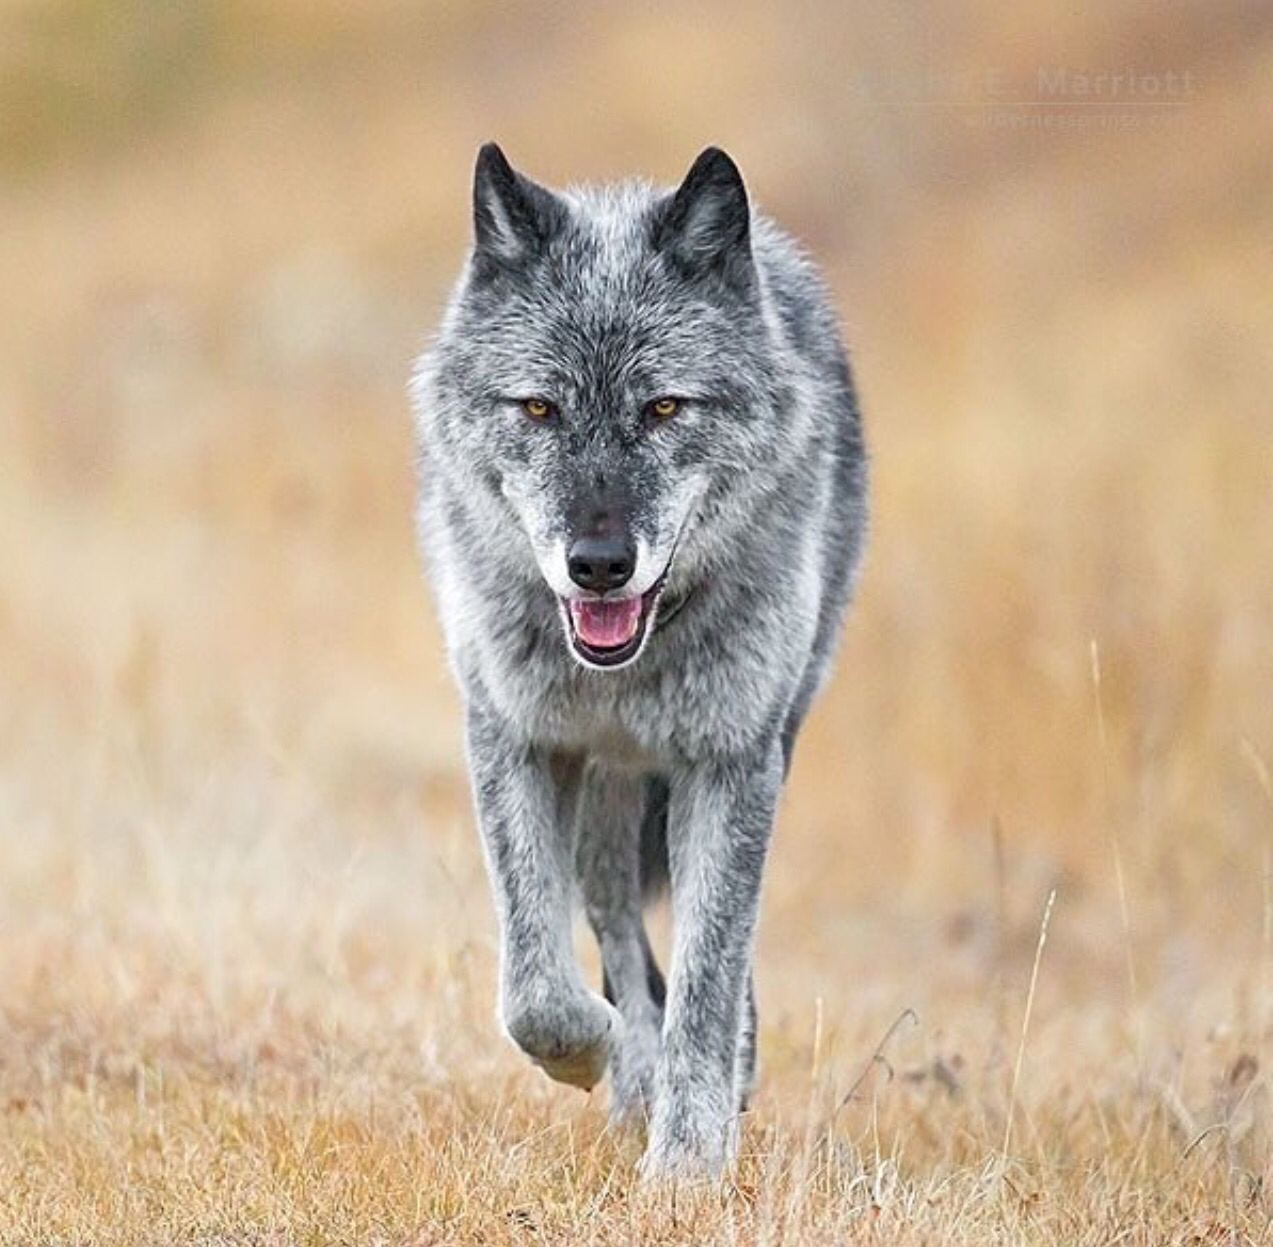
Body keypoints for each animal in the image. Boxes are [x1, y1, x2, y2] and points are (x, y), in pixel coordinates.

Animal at [411, 143, 867, 1178]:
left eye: (662, 407)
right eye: (539, 406)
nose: (598, 562)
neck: (627, 667)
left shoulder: (731, 762)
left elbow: (707, 973)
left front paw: (689, 1164)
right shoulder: (513, 740)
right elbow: (535, 985)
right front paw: (595, 1054)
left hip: (758, 748)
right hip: (604, 798)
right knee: (614, 925)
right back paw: (628, 1076)